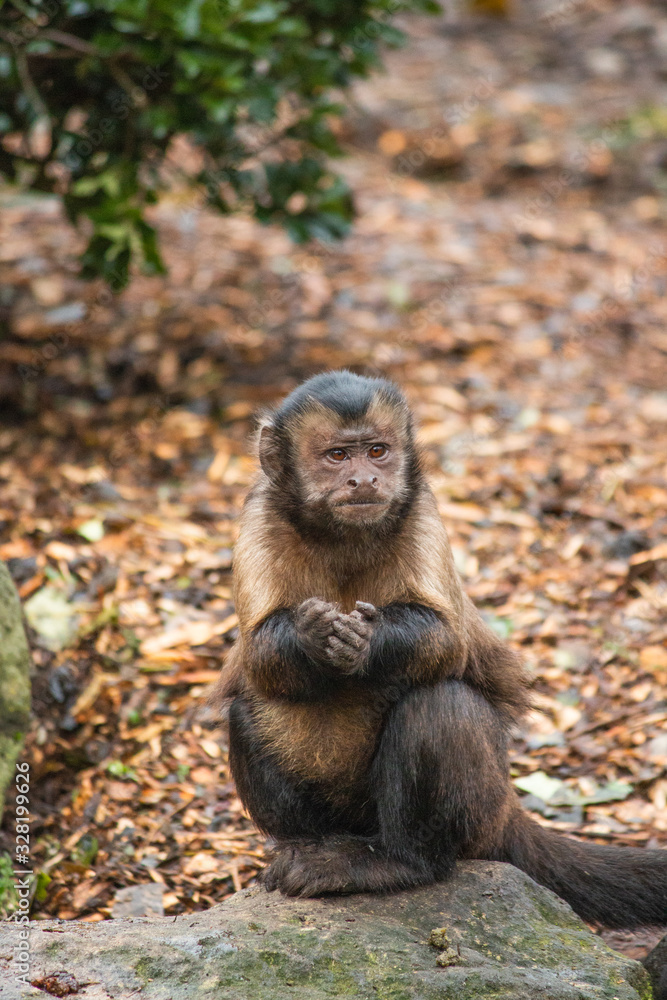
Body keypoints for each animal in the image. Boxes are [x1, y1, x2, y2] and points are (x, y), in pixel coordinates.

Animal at [214, 370, 667, 927]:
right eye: (338, 456)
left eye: (378, 451)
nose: (365, 480)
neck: (342, 537)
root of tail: (507, 806)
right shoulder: (258, 520)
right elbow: (258, 658)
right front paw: (313, 637)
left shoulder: (423, 512)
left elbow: (444, 643)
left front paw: (365, 642)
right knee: (246, 711)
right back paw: (315, 847)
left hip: (482, 808)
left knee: (438, 704)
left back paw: (399, 862)